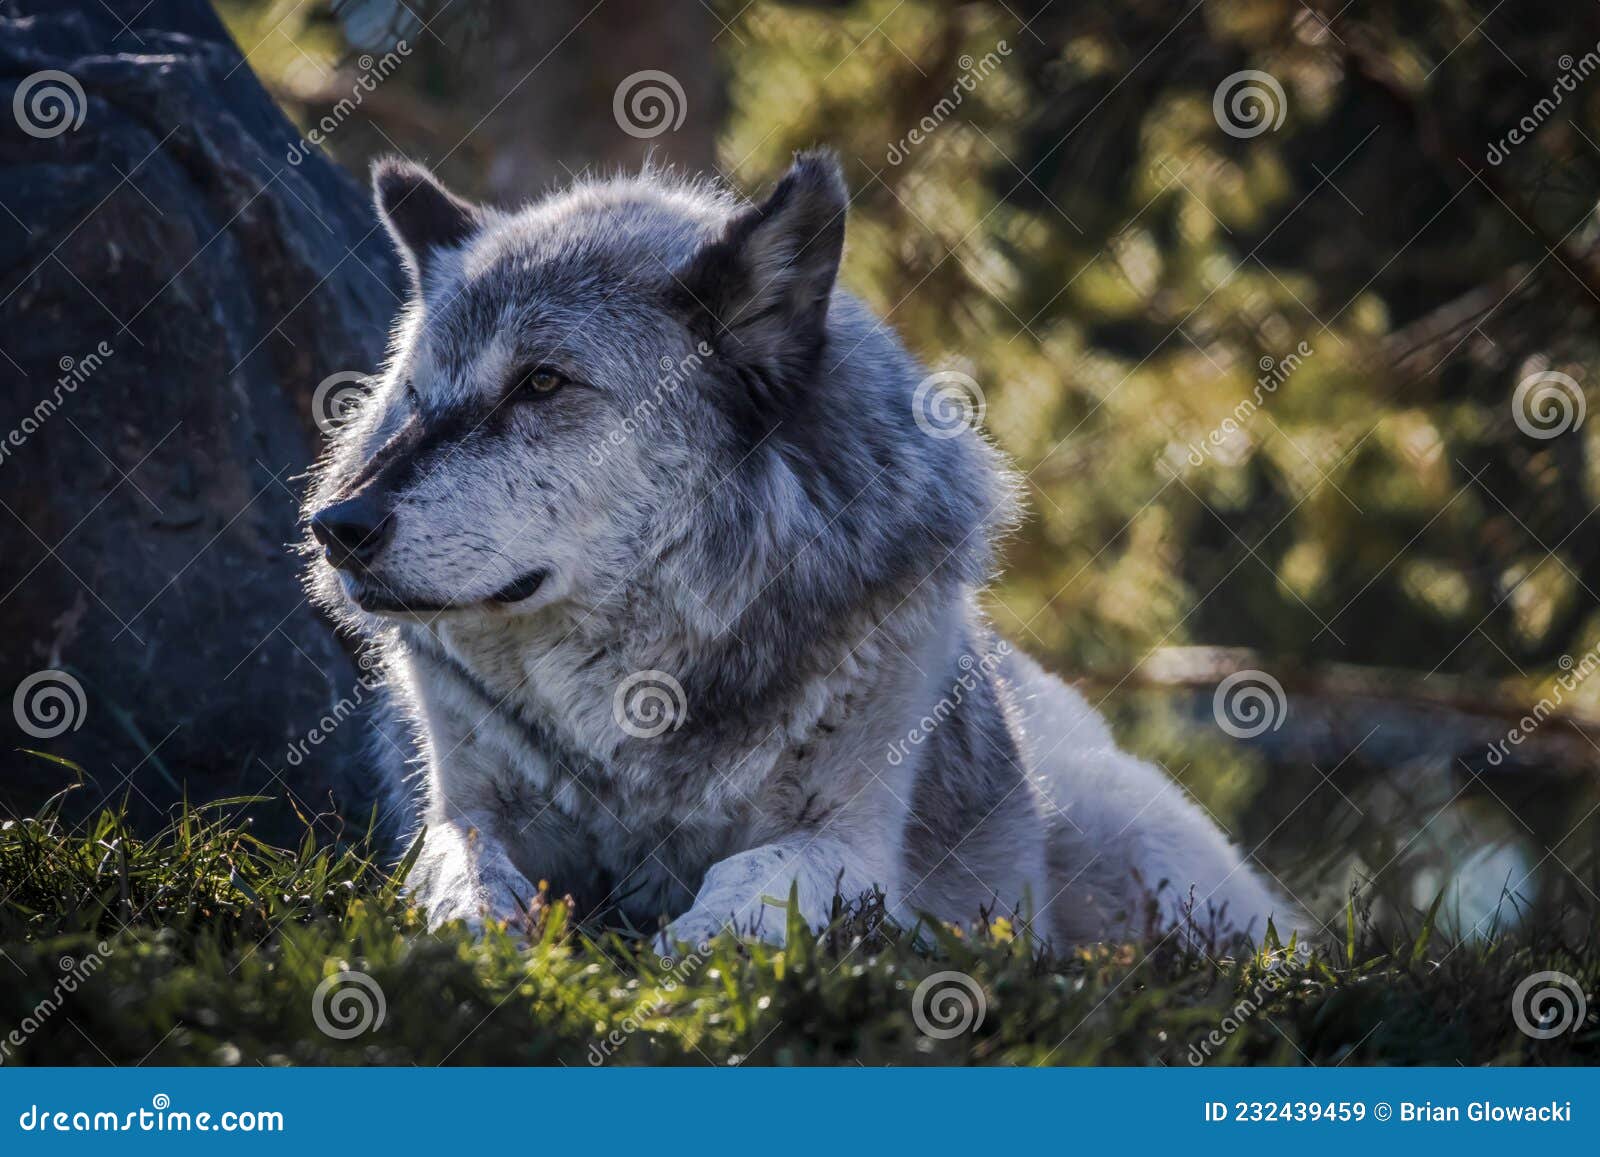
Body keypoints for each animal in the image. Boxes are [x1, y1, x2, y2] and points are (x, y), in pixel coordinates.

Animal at [303, 149, 1293, 951]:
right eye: (417, 397)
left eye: (541, 382)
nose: (338, 525)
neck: (636, 698)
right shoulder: (468, 804)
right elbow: (460, 861)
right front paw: (485, 925)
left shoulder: (848, 835)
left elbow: (757, 867)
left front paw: (688, 945)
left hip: (1123, 836)